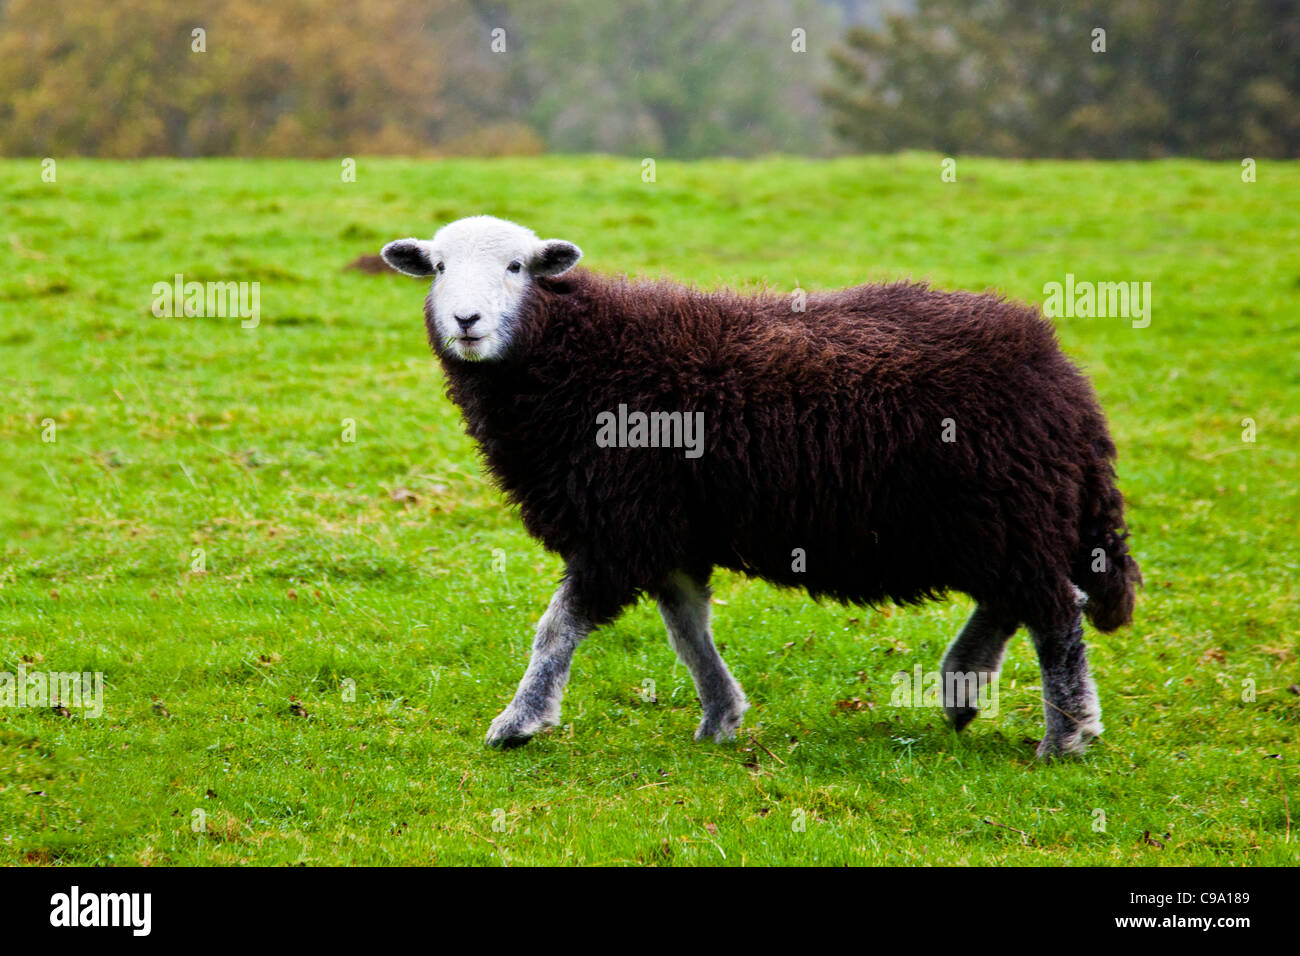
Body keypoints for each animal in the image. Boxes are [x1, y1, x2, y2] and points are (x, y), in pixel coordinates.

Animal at [381, 215, 1141, 758]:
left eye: (517, 268)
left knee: (1056, 609)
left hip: (1007, 506)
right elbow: (688, 631)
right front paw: (722, 716)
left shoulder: (619, 526)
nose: (467, 322)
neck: (579, 355)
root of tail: (1059, 374)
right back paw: (964, 687)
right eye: (439, 267)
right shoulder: (666, 529)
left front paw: (519, 722)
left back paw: (1067, 735)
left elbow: (555, 628)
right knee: (1018, 597)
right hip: (996, 517)